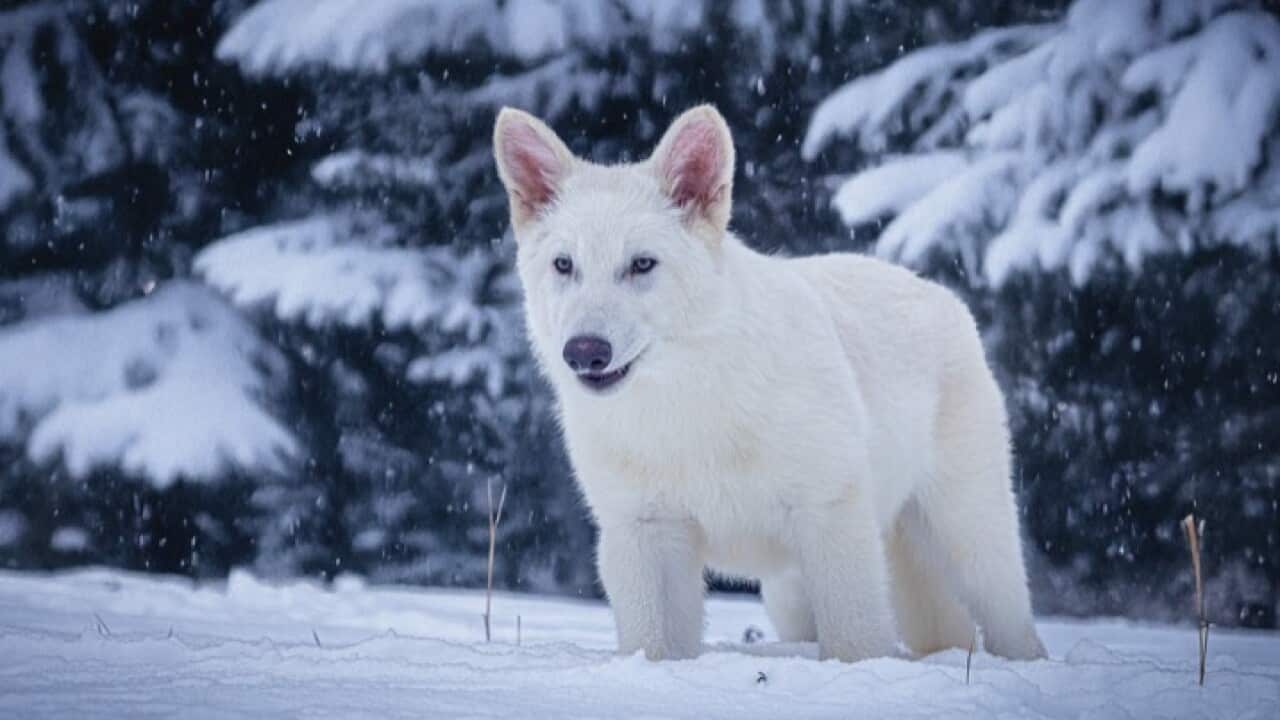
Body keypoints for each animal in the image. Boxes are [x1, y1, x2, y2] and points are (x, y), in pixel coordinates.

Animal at [493, 104, 1047, 663]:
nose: (585, 352)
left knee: (1013, 624)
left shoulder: (829, 514)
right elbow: (654, 648)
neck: (686, 409)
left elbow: (853, 641)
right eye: (564, 265)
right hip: (798, 590)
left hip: (969, 537)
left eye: (642, 264)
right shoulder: (645, 534)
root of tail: (940, 292)